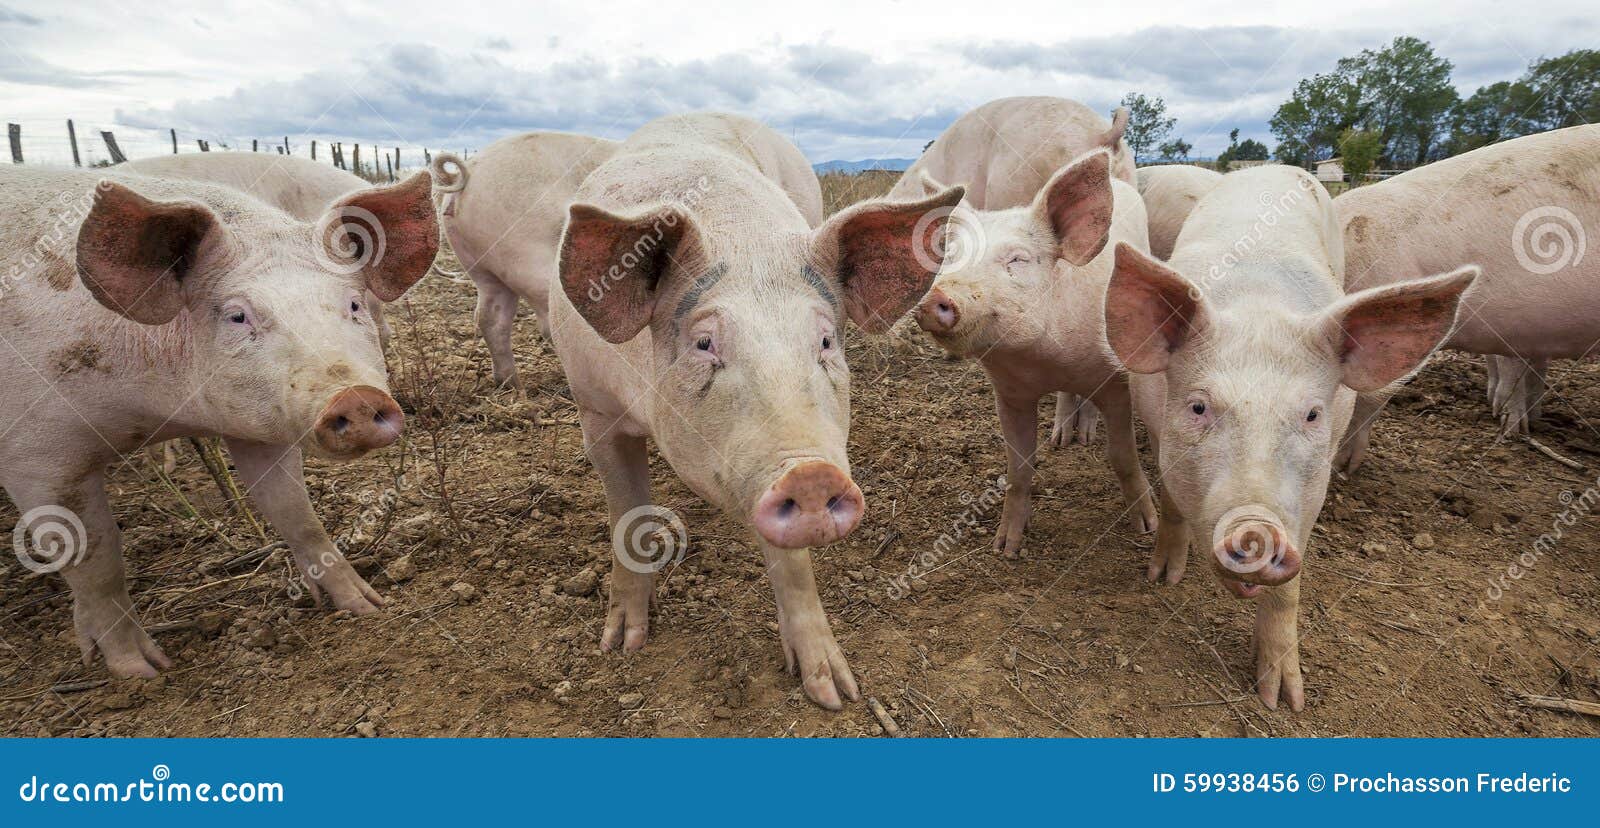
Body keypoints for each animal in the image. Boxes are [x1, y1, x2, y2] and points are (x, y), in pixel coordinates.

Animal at [0, 166, 438, 677]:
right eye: (237, 316)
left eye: (352, 305)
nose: (358, 398)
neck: (166, 412)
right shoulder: (37, 456)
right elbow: (97, 561)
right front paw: (145, 673)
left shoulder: (257, 429)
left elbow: (295, 512)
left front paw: (367, 605)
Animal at [427, 133, 620, 390]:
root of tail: (466, 174)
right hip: (530, 254)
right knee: (552, 321)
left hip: (483, 267)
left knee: (489, 317)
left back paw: (511, 385)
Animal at [550, 112, 962, 709]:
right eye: (704, 344)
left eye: (826, 341)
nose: (810, 475)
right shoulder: (595, 408)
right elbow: (624, 510)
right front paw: (622, 645)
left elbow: (791, 563)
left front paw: (836, 693)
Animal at [911, 149, 1158, 555]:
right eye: (953, 255)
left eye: (1017, 259)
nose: (934, 299)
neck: (1045, 361)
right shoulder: (1009, 394)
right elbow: (1019, 468)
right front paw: (1005, 547)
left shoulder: (1115, 381)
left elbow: (1122, 456)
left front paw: (1146, 527)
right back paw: (1060, 438)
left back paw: (1084, 438)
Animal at [1103, 164, 1476, 709]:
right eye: (1198, 406)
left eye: (1312, 415)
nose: (1256, 530)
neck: (1258, 305)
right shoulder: (1156, 425)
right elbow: (1171, 503)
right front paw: (1164, 577)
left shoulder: (1315, 482)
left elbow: (1289, 590)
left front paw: (1283, 701)